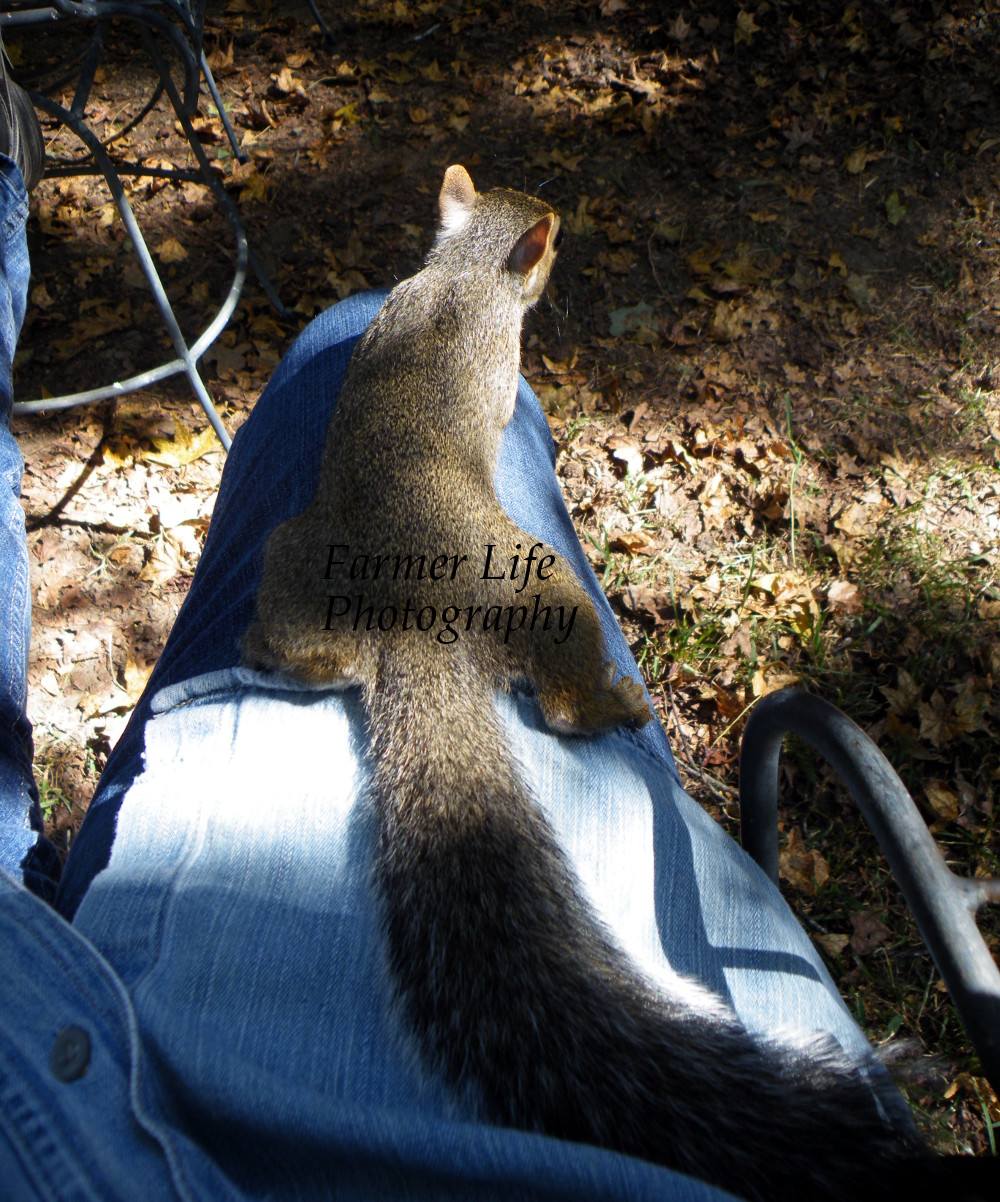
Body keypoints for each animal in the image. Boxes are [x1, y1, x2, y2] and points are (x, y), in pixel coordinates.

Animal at [243, 166, 985, 1201]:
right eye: (549, 243)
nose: (565, 245)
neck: (460, 277)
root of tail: (412, 627)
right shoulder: (498, 367)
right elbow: (505, 404)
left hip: (291, 556)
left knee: (311, 644)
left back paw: (281, 655)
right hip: (543, 581)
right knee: (558, 705)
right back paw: (611, 701)